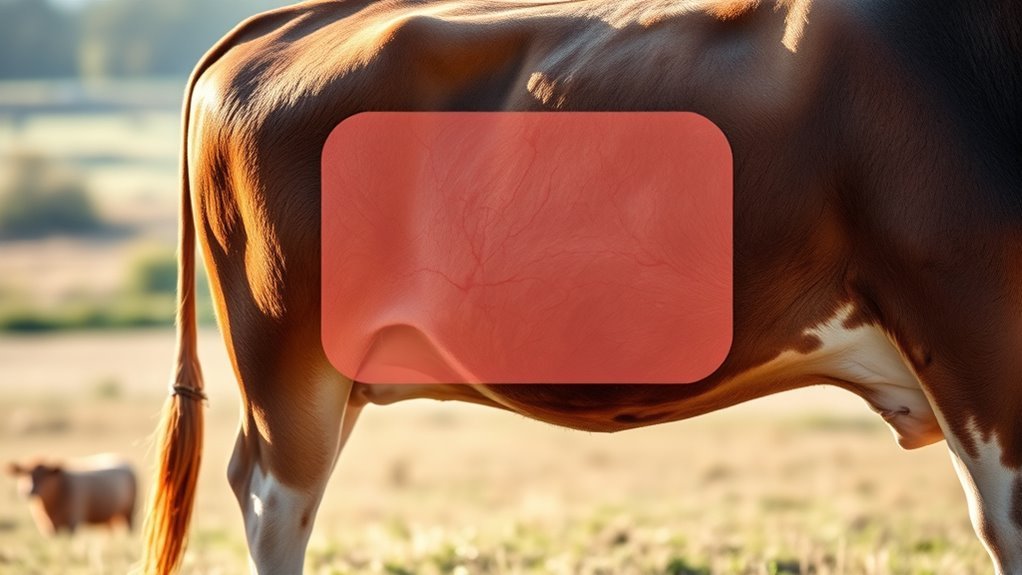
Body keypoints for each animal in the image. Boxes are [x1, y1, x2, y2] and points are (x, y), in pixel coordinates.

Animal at [7, 454, 136, 535]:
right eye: (24, 473)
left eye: (44, 476)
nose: (28, 491)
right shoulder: (48, 526)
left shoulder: (73, 521)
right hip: (110, 516)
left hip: (129, 512)